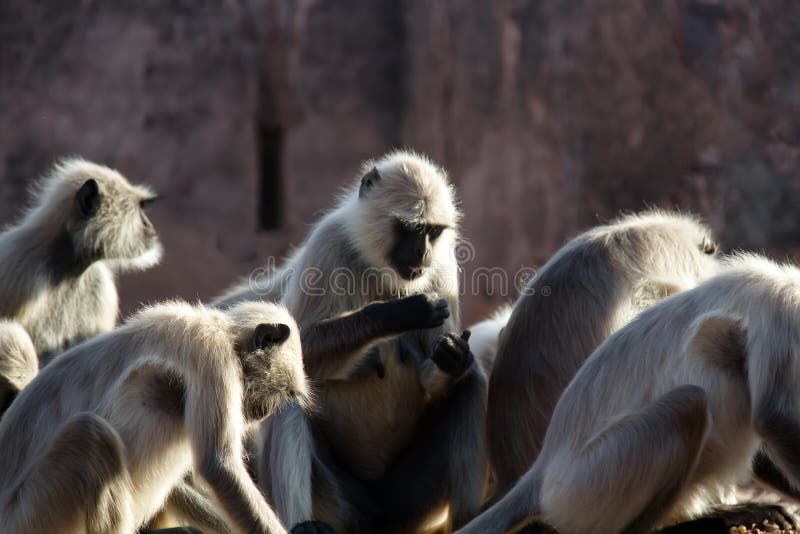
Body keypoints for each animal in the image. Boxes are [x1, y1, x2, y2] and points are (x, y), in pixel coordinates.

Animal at [0, 299, 308, 534]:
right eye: (282, 393)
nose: (266, 412)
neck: (227, 336)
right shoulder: (211, 352)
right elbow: (218, 467)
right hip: (32, 512)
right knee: (90, 434)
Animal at [258, 150, 487, 533]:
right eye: (411, 229)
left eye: (433, 232)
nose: (422, 254)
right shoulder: (327, 242)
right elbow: (295, 343)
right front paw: (401, 312)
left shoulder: (441, 266)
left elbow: (437, 373)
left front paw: (451, 357)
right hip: (341, 504)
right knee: (290, 393)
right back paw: (303, 525)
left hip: (412, 505)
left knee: (471, 382)